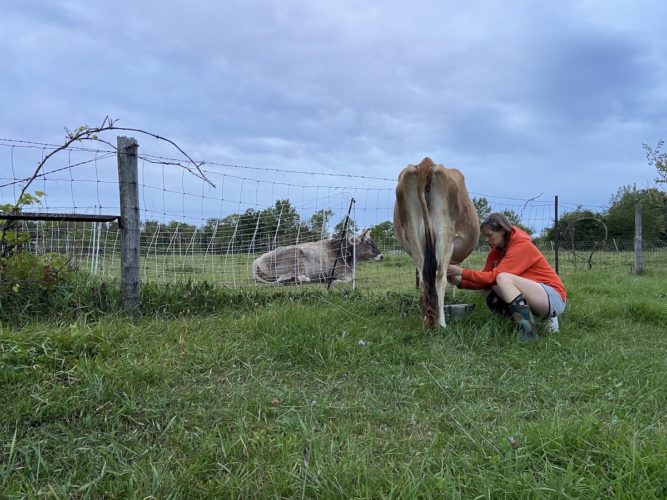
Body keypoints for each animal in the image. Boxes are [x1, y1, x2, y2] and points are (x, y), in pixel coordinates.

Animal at [253, 229, 384, 285]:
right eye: (368, 243)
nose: (381, 256)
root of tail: (257, 261)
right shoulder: (336, 272)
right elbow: (350, 279)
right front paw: (334, 281)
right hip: (295, 258)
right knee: (284, 279)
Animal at [393, 157, 479, 328]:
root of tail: (426, 164)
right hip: (445, 231)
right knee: (439, 277)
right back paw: (441, 324)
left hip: (413, 233)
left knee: (423, 278)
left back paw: (426, 321)